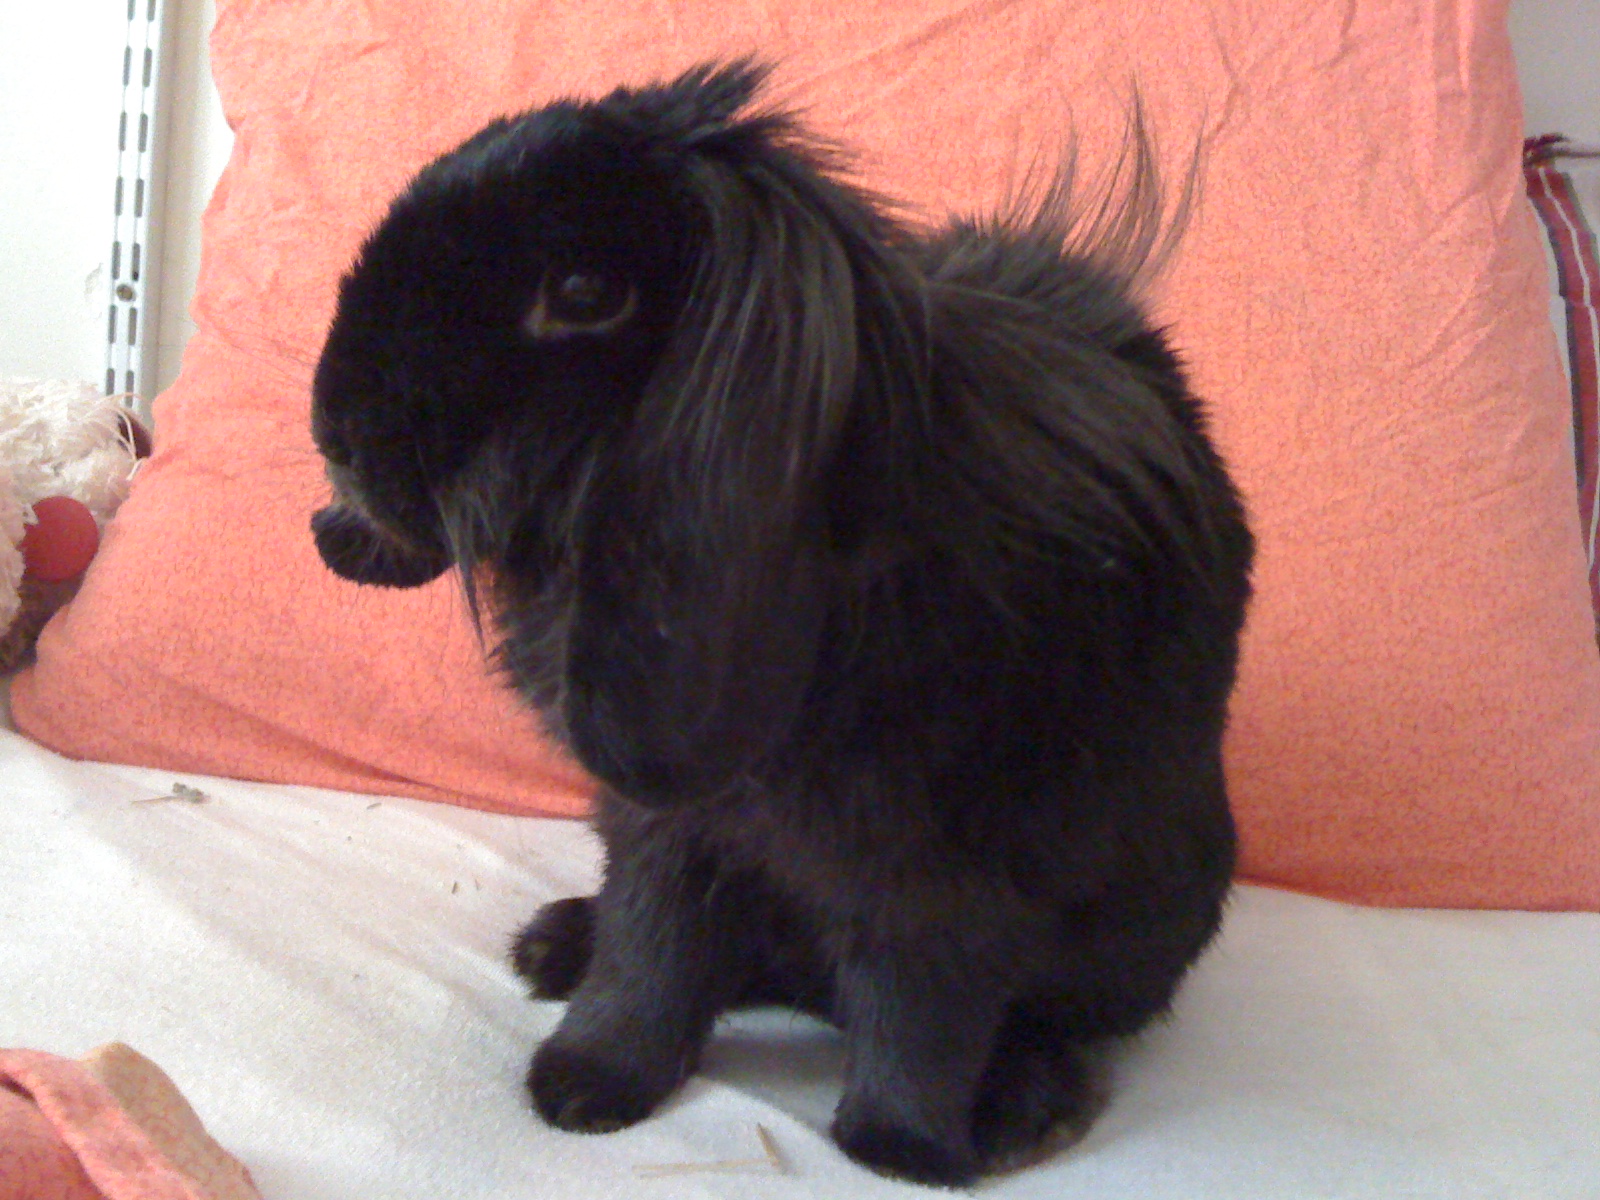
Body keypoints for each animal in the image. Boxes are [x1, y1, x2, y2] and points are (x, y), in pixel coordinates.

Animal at [310, 60, 1253, 1187]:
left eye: (581, 295)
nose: (337, 431)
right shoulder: (672, 830)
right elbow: (651, 955)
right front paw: (583, 1086)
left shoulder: (947, 874)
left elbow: (920, 1012)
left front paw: (902, 1151)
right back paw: (553, 945)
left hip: (1141, 928)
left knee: (1031, 1016)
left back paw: (1027, 1106)